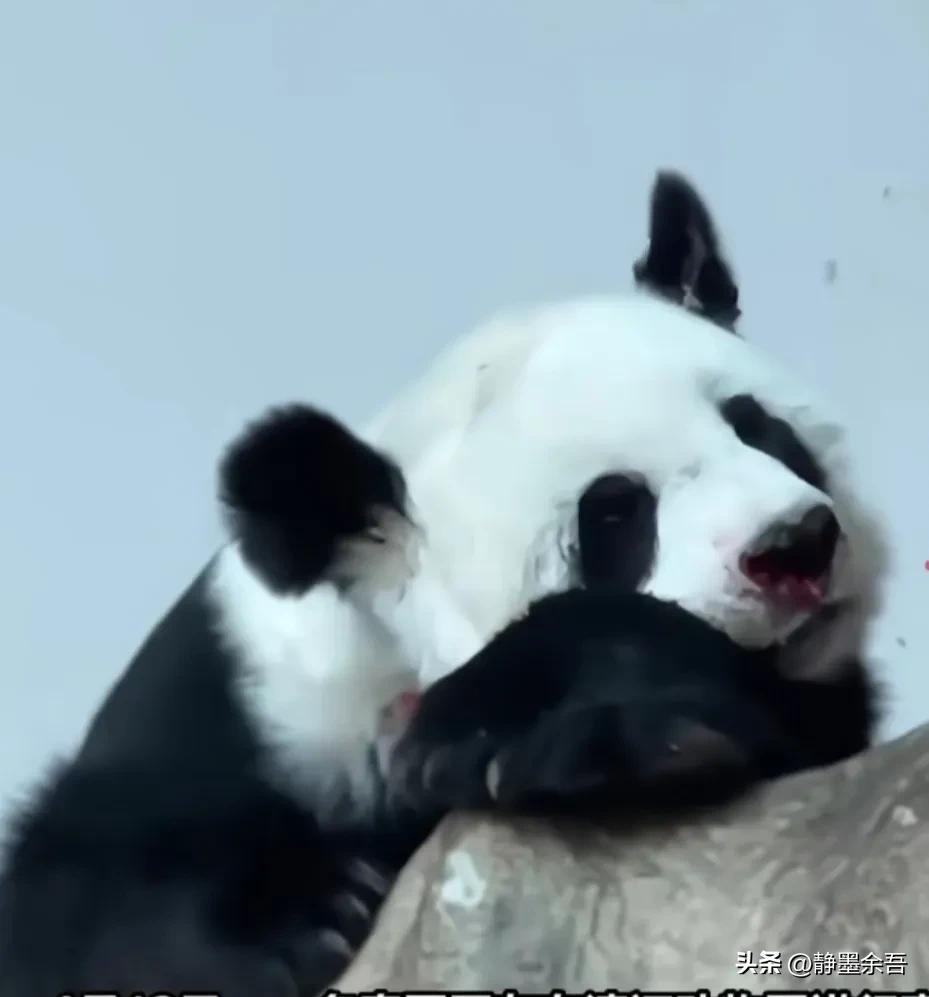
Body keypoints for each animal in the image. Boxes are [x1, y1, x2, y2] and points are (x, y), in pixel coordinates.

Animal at [0, 173, 886, 997]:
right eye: (614, 514)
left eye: (758, 427)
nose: (793, 546)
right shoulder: (220, 702)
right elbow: (77, 894)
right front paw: (304, 919)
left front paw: (557, 744)